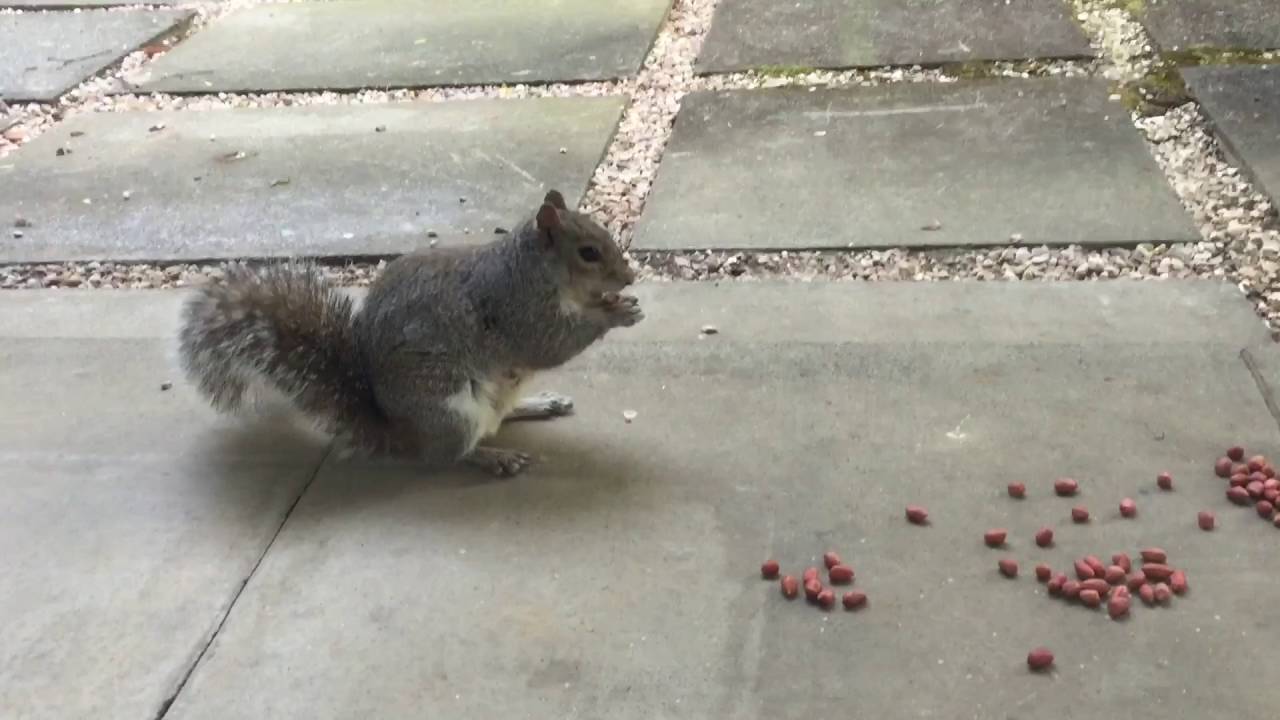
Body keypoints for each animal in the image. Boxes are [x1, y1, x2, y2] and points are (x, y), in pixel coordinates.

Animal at [178, 190, 643, 477]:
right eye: (588, 252)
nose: (629, 278)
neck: (532, 269)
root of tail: (398, 431)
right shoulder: (518, 310)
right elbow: (550, 345)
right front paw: (615, 314)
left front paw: (614, 303)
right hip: (448, 407)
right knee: (449, 456)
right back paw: (492, 458)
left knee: (498, 418)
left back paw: (540, 403)